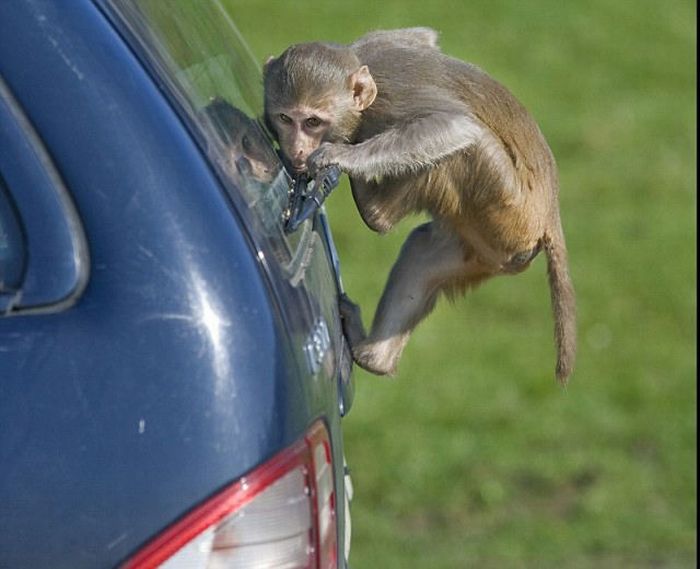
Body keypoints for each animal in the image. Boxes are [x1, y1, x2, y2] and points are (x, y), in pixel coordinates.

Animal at [263, 28, 576, 384]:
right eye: (286, 118)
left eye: (313, 122)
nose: (297, 149)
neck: (362, 108)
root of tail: (550, 215)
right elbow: (423, 37)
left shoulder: (392, 102)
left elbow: (455, 125)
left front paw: (340, 157)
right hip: (488, 247)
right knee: (423, 251)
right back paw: (374, 357)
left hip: (507, 212)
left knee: (470, 142)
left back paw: (377, 212)